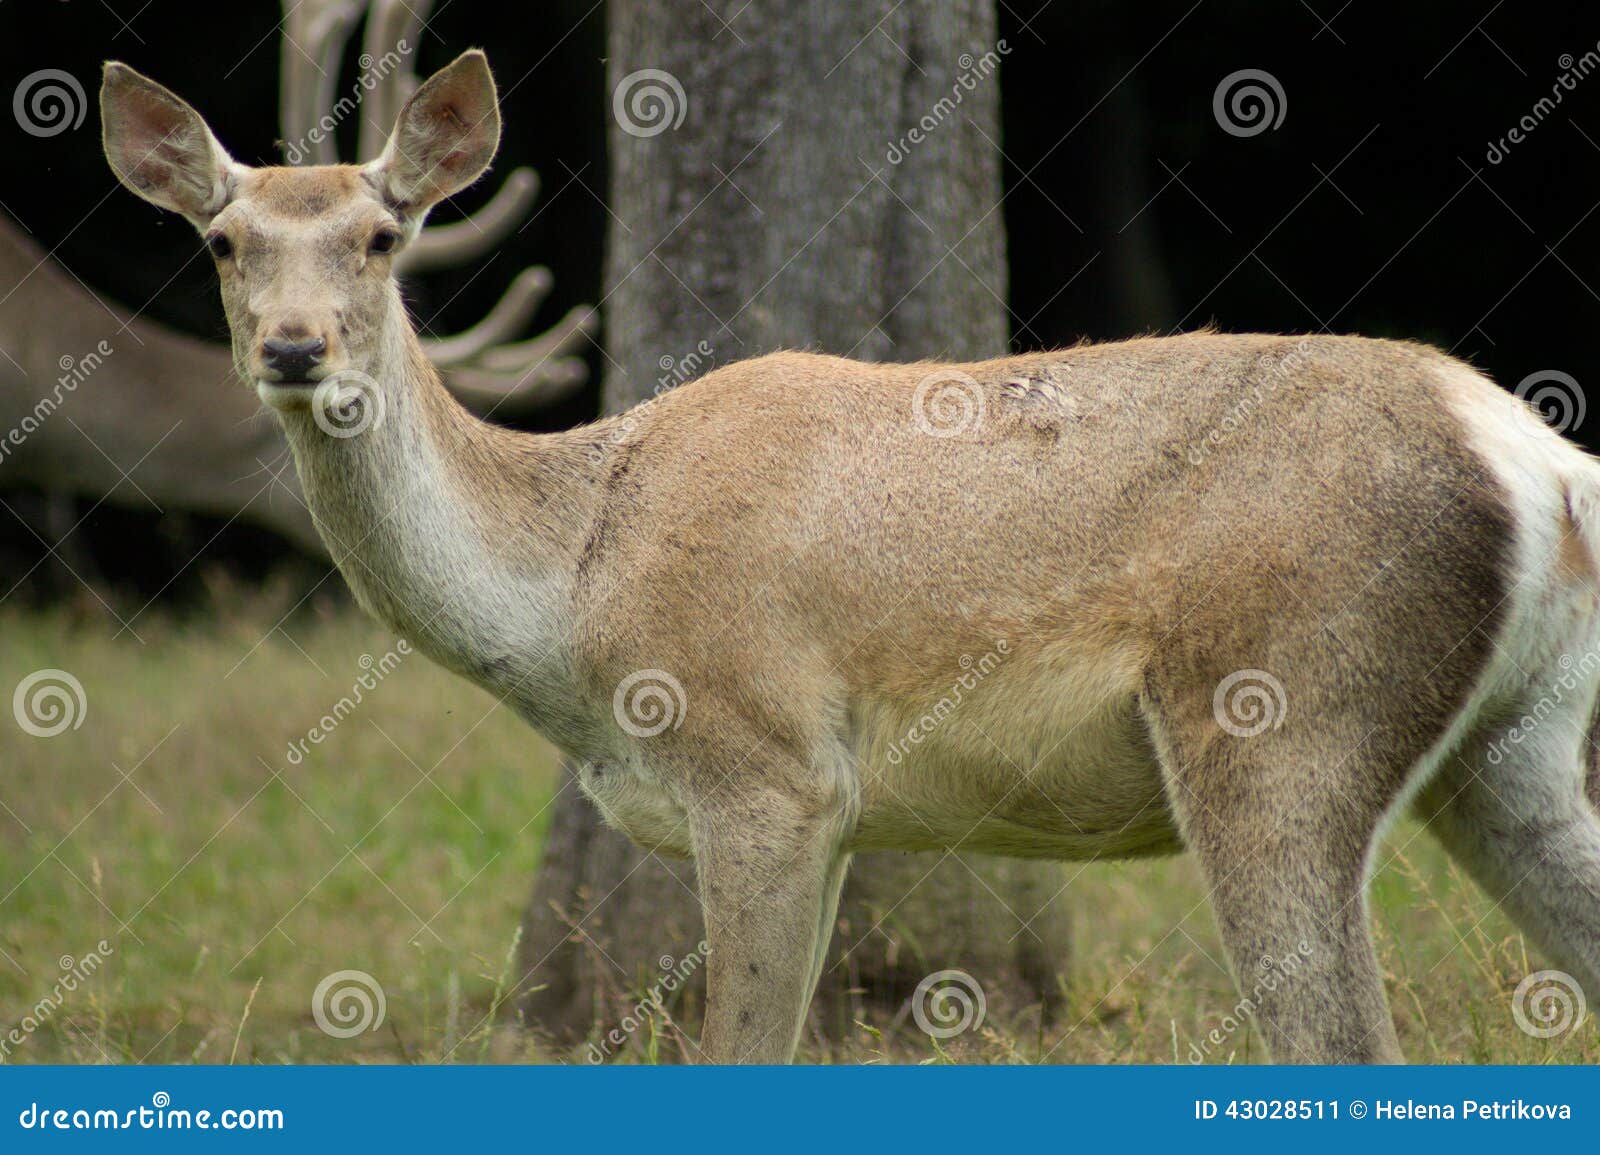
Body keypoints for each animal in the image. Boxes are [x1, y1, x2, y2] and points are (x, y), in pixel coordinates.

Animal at [101, 49, 1600, 1064]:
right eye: (223, 241)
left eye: (381, 236)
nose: (296, 349)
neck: (572, 591)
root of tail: (1540, 461)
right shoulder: (827, 810)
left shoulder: (764, 762)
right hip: (1510, 752)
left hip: (1280, 713)